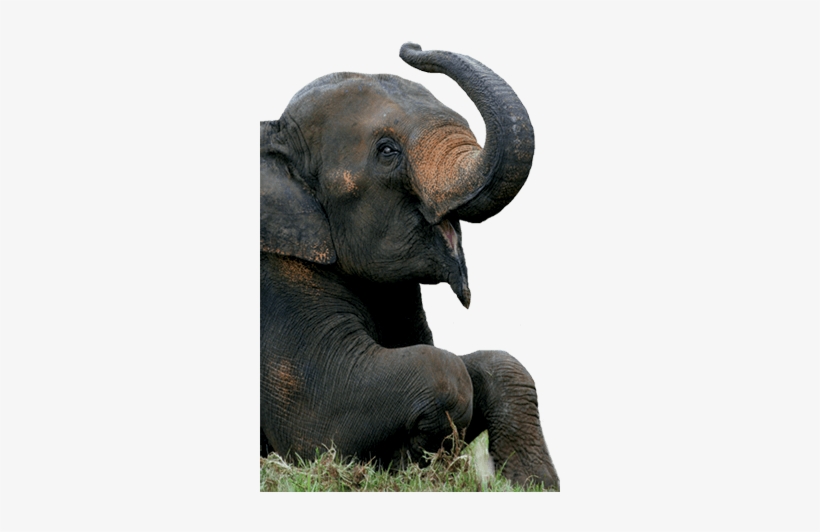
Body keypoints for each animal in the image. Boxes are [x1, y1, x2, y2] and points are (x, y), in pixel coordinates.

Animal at [260, 42, 558, 489]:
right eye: (387, 151)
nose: (411, 47)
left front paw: (533, 484)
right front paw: (411, 463)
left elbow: (496, 364)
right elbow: (319, 420)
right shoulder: (277, 288)